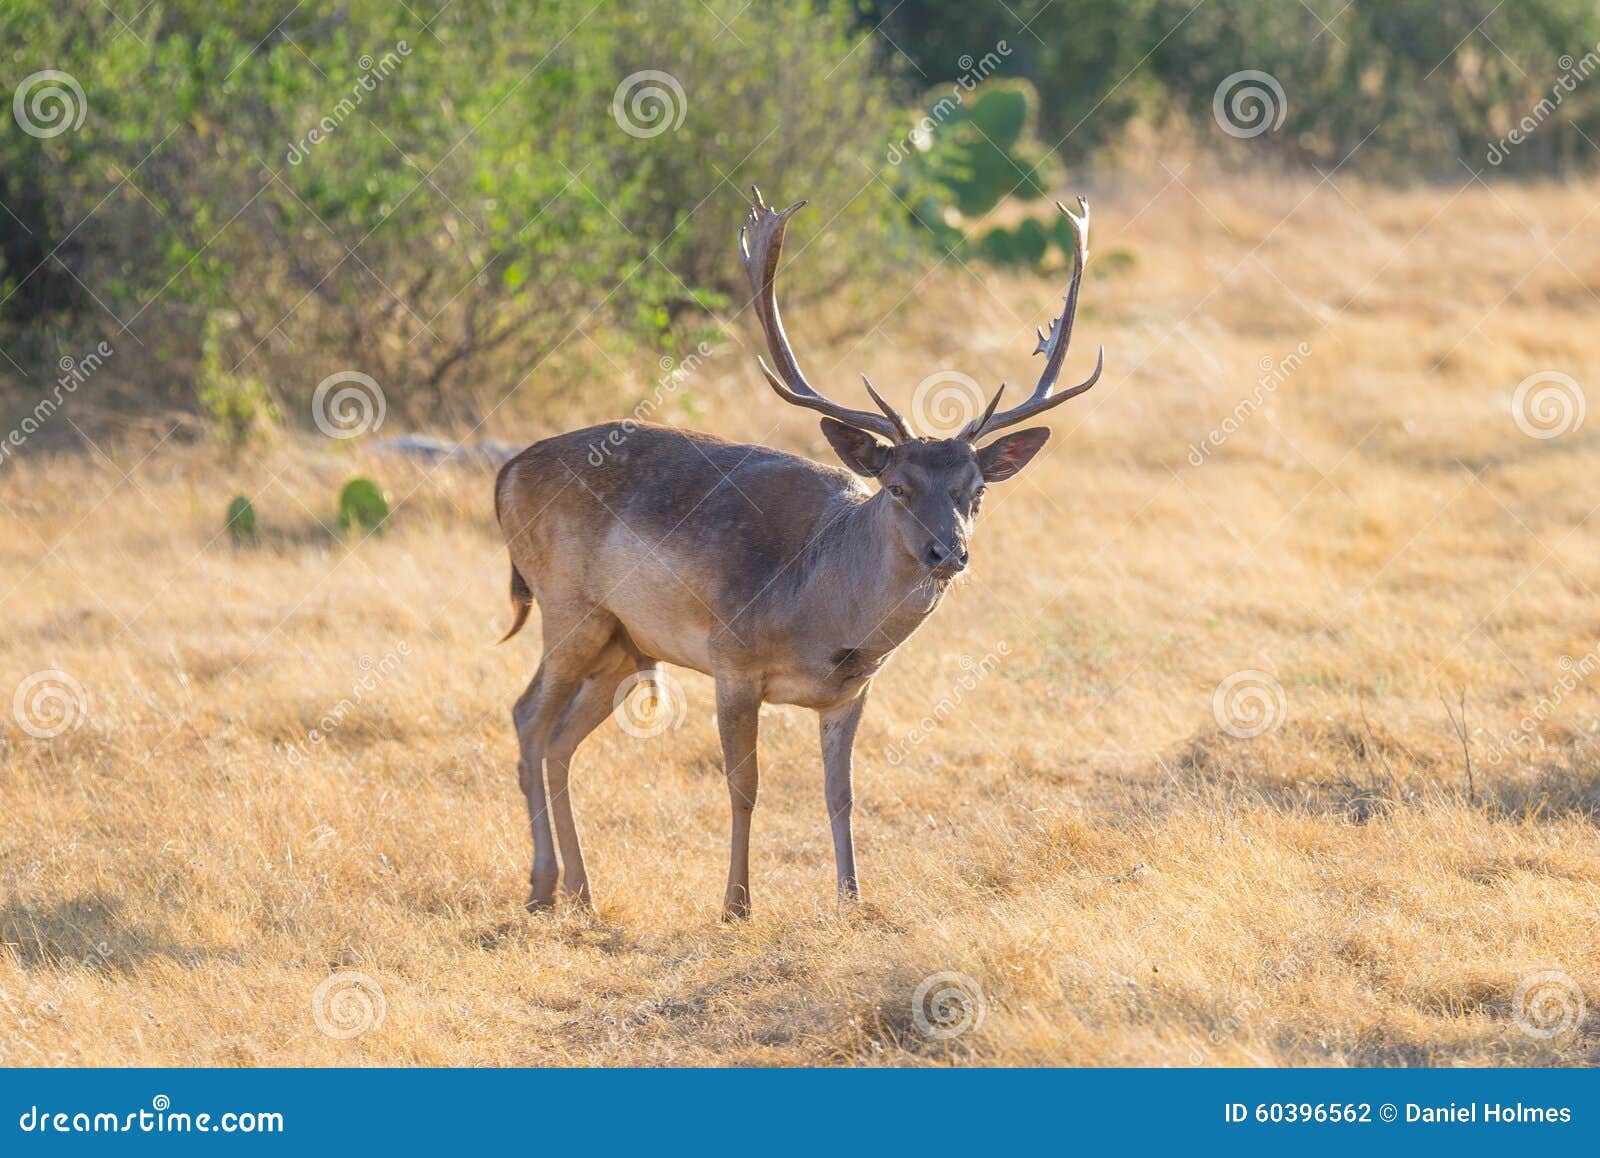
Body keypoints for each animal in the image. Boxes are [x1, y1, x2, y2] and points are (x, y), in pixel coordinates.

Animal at [494, 189, 1104, 919]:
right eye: (897, 486)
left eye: (976, 489)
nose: (948, 553)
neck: (819, 613)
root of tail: (506, 473)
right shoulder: (731, 660)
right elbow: (744, 786)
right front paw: (736, 904)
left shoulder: (852, 691)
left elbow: (840, 793)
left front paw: (851, 898)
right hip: (569, 605)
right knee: (528, 717)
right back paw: (540, 885)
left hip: (625, 643)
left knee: (560, 739)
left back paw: (581, 891)